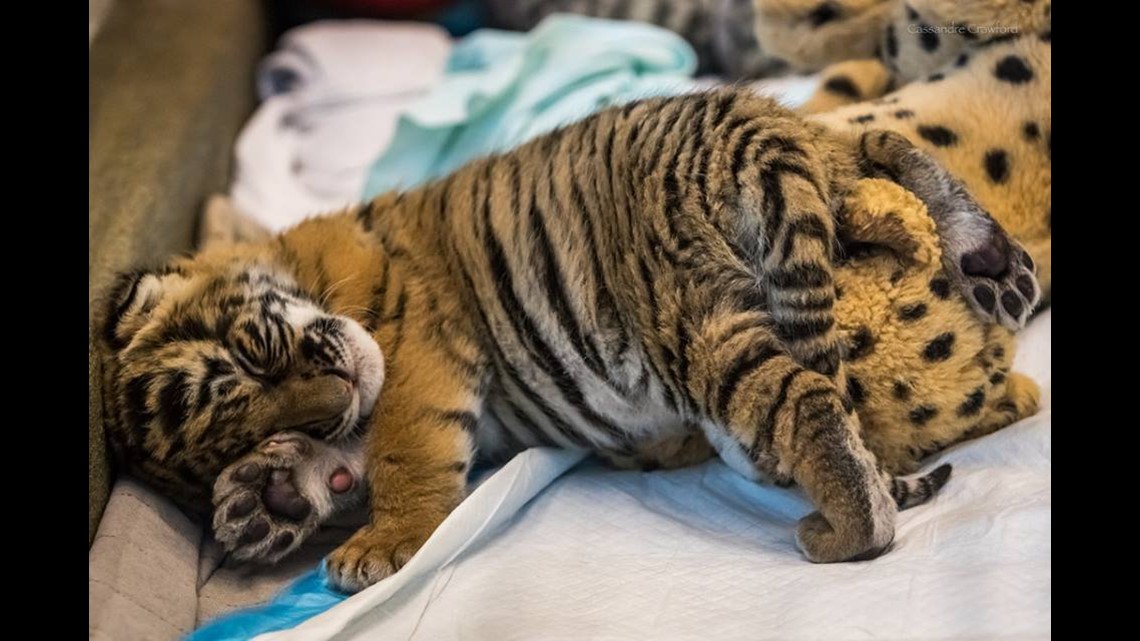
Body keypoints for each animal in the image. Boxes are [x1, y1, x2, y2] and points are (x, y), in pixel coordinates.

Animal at [99, 87, 1038, 592]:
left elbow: (405, 446)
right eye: (273, 417)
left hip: (688, 322)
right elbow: (351, 458)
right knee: (873, 147)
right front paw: (265, 497)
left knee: (810, 391)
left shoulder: (415, 347)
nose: (333, 402)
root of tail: (749, 127)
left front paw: (382, 544)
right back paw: (988, 262)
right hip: (773, 230)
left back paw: (847, 531)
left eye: (256, 353)